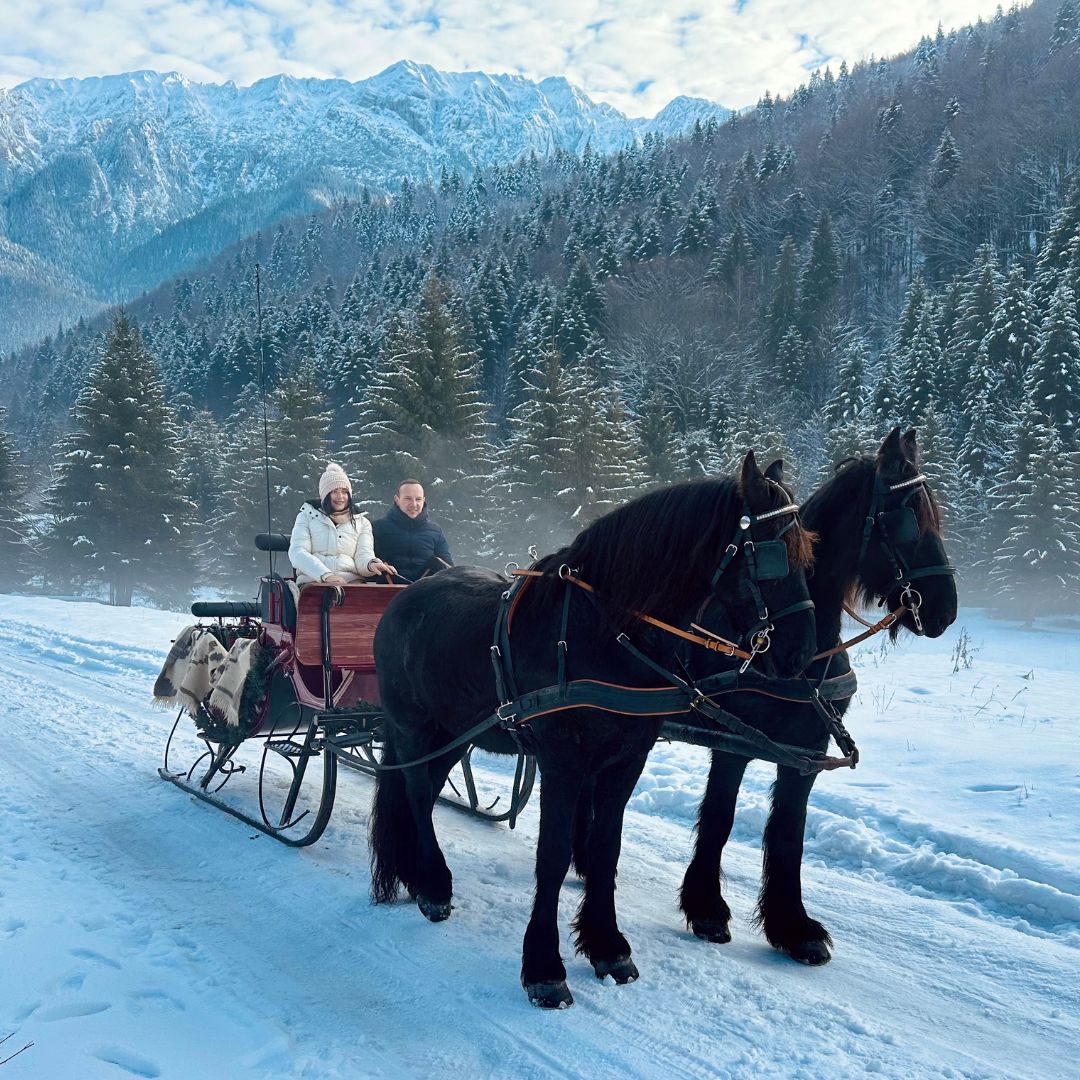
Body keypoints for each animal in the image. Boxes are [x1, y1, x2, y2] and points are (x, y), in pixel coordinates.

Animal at [368, 452, 820, 1008]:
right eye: (773, 554)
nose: (803, 654)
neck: (604, 632)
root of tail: (405, 596)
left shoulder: (627, 759)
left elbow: (606, 849)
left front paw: (607, 945)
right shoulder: (563, 762)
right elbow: (554, 855)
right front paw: (544, 967)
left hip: (454, 732)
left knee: (425, 793)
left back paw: (418, 876)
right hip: (413, 727)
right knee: (413, 793)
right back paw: (432, 885)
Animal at [676, 427, 958, 963]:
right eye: (910, 519)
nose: (945, 609)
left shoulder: (807, 748)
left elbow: (789, 830)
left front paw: (792, 926)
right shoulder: (733, 742)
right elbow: (720, 817)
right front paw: (706, 908)